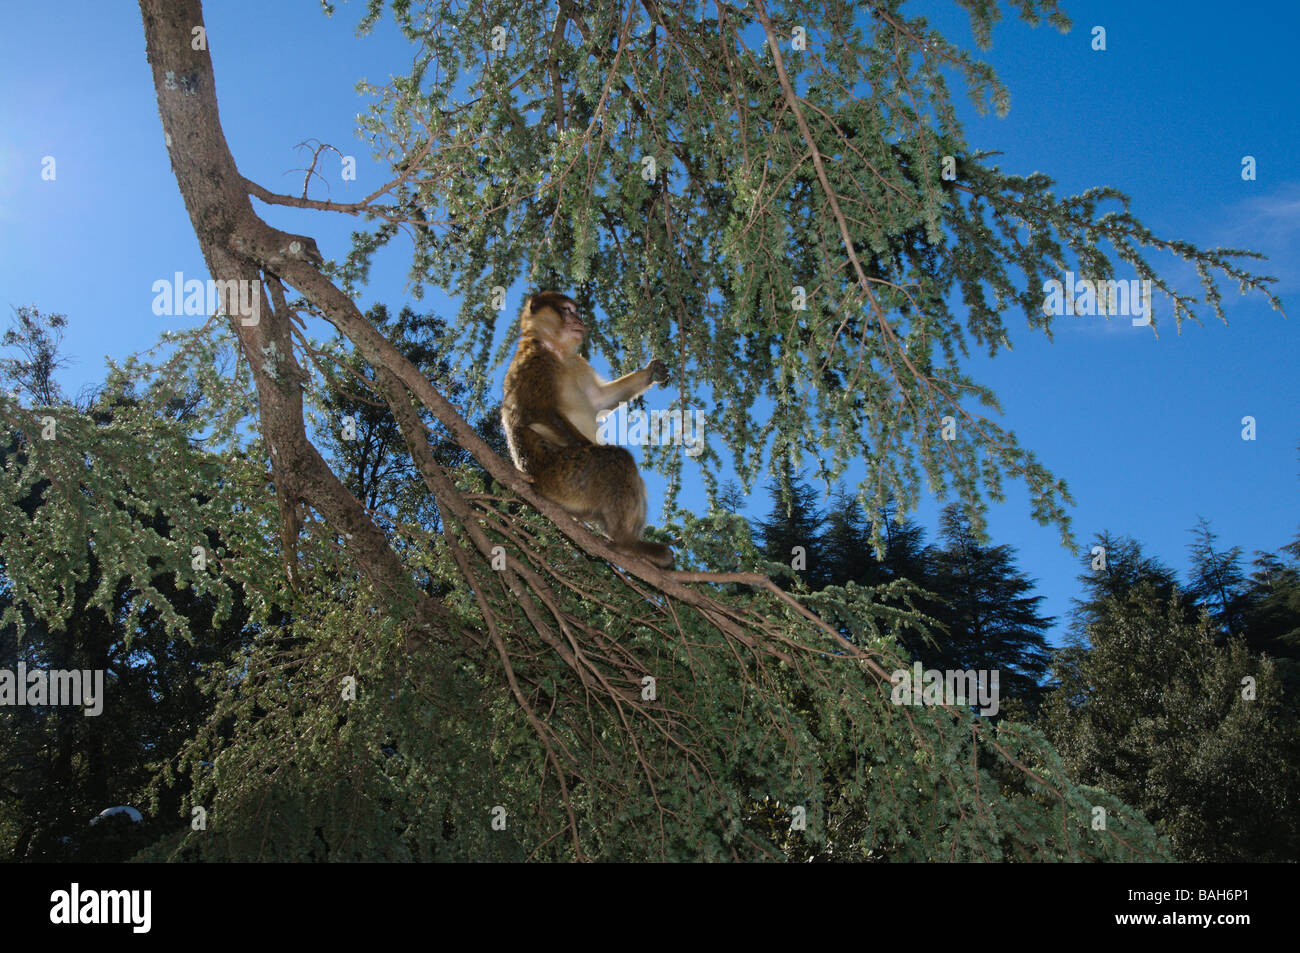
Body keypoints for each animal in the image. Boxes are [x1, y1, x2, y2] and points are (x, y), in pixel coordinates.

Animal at [501, 291, 674, 568]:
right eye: (568, 310)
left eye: (576, 311)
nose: (580, 320)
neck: (556, 351)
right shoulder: (535, 362)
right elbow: (534, 414)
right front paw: (590, 445)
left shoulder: (576, 361)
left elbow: (599, 401)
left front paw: (650, 372)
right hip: (562, 479)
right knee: (616, 461)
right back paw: (626, 543)